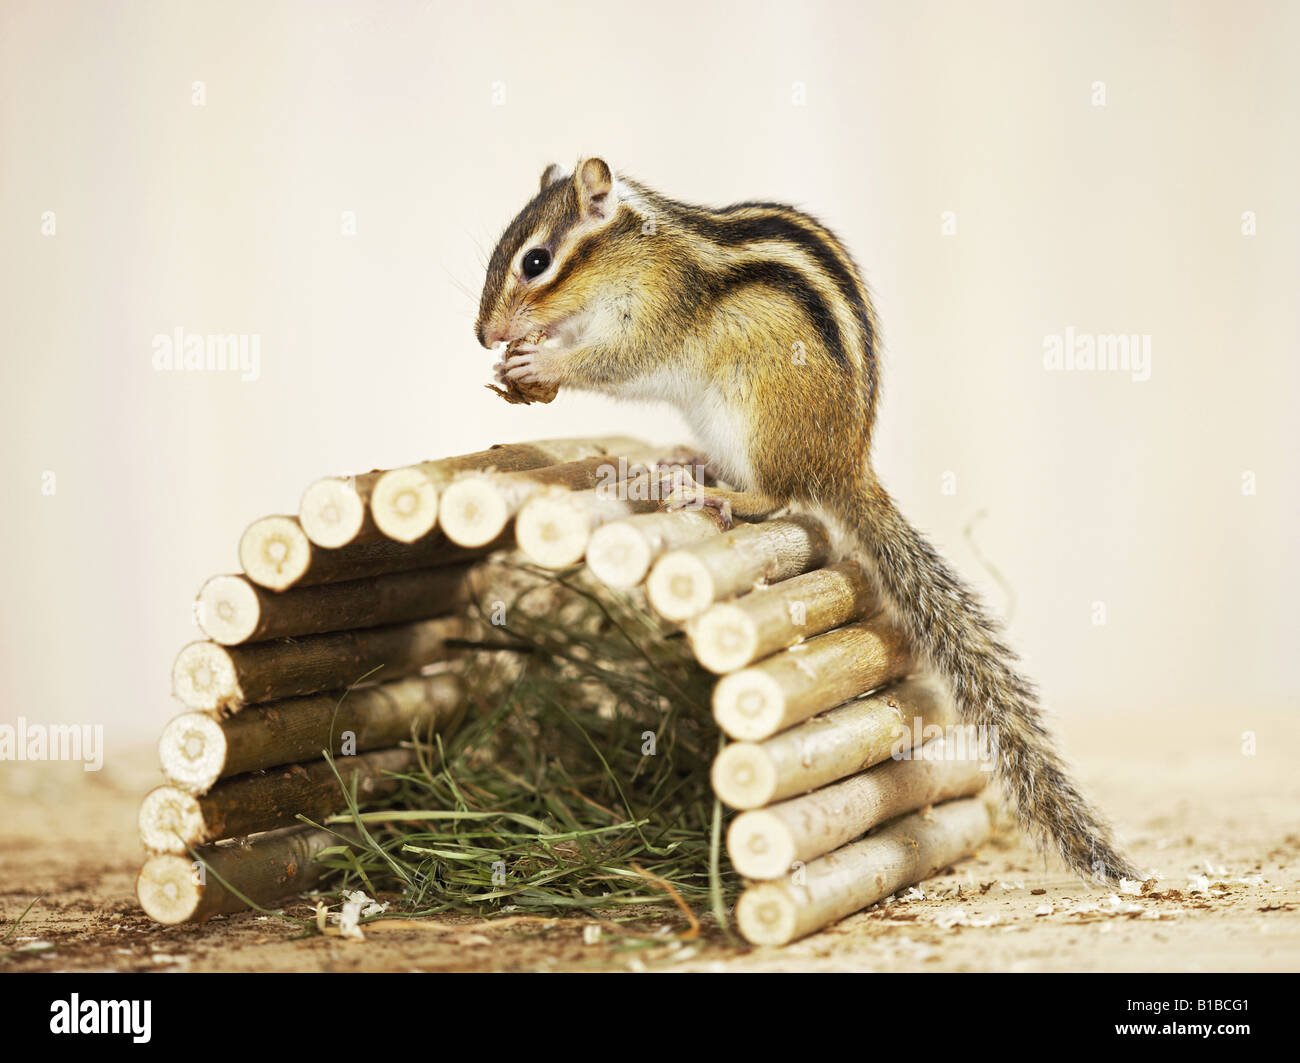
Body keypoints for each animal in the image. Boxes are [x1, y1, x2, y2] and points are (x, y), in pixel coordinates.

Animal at [475, 157, 1141, 884]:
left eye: (536, 261)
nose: (484, 335)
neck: (632, 250)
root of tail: (847, 464)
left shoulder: (653, 313)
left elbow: (617, 359)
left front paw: (540, 360)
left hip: (754, 415)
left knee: (779, 497)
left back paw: (709, 492)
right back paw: (688, 460)